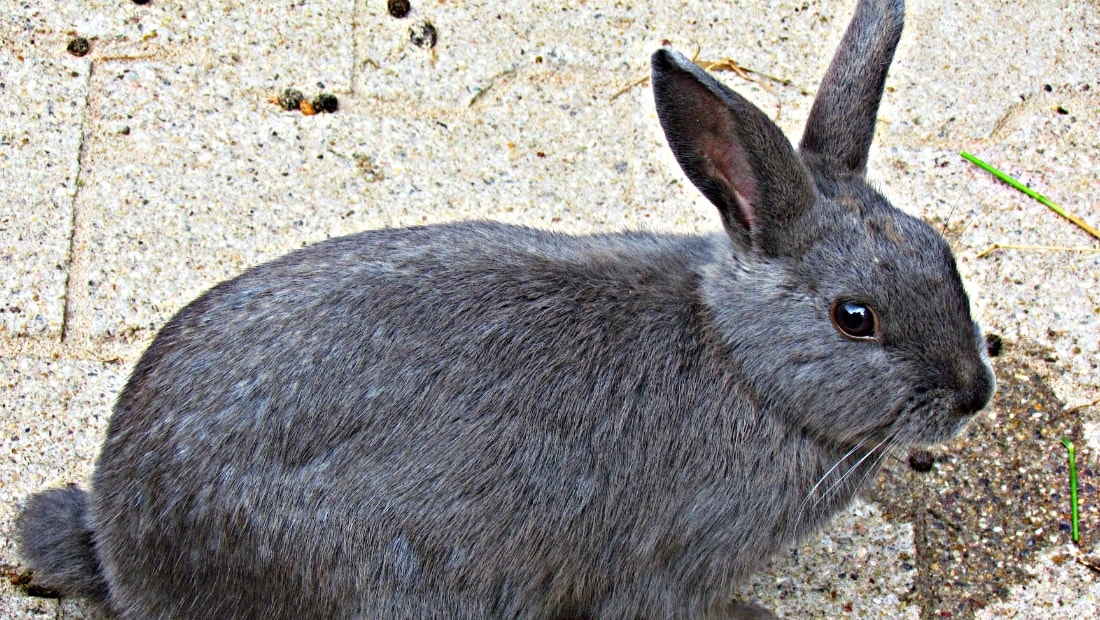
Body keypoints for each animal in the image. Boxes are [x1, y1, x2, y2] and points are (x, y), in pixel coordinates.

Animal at [16, 0, 994, 618]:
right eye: (855, 317)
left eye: (941, 253)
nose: (973, 393)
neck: (744, 365)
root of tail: (122, 546)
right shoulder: (670, 566)